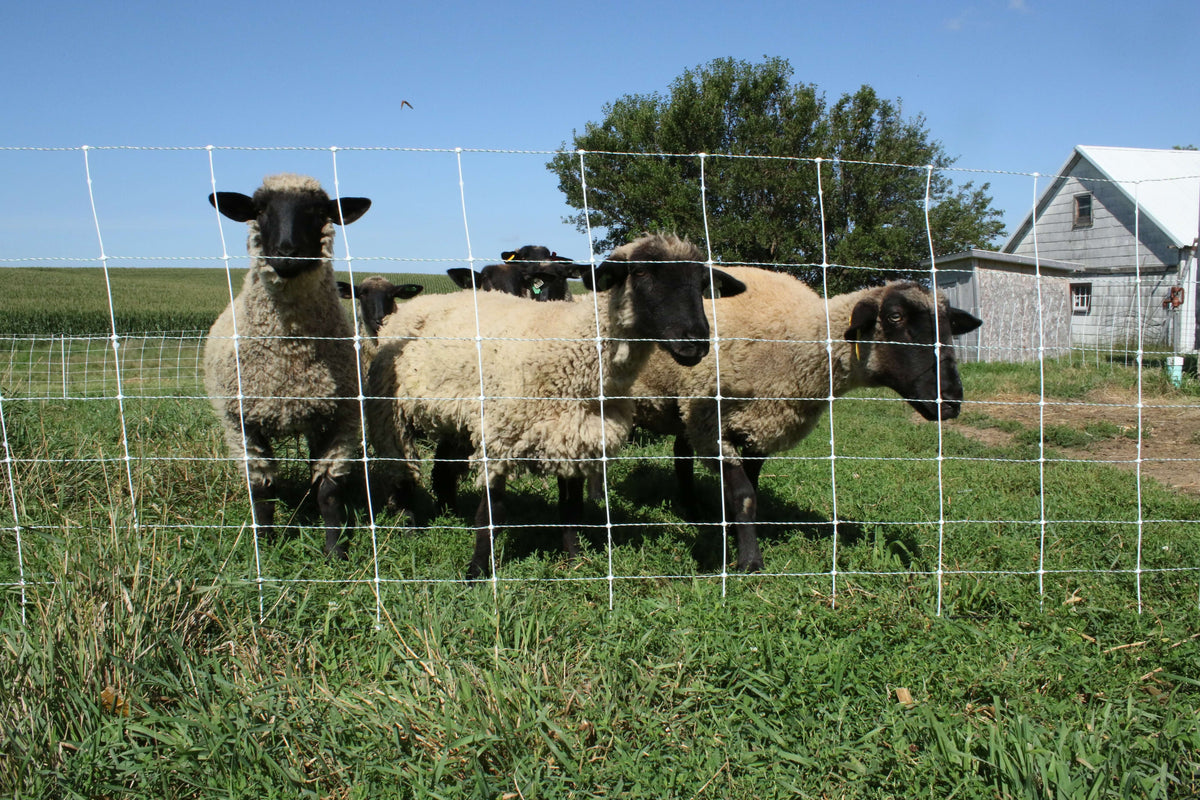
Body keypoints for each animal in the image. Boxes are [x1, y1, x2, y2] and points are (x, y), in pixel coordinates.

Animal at [203, 173, 372, 559]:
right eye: (260, 209)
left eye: (318, 211)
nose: (287, 253)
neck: (291, 351)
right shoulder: (241, 423)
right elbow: (262, 490)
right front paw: (264, 546)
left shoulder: (342, 418)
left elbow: (328, 492)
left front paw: (334, 552)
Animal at [631, 268, 983, 573]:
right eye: (895, 316)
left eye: (949, 325)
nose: (951, 401)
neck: (794, 338)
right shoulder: (711, 428)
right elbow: (744, 496)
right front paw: (749, 561)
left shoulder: (763, 427)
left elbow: (751, 491)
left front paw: (734, 532)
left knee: (681, 454)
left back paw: (692, 509)